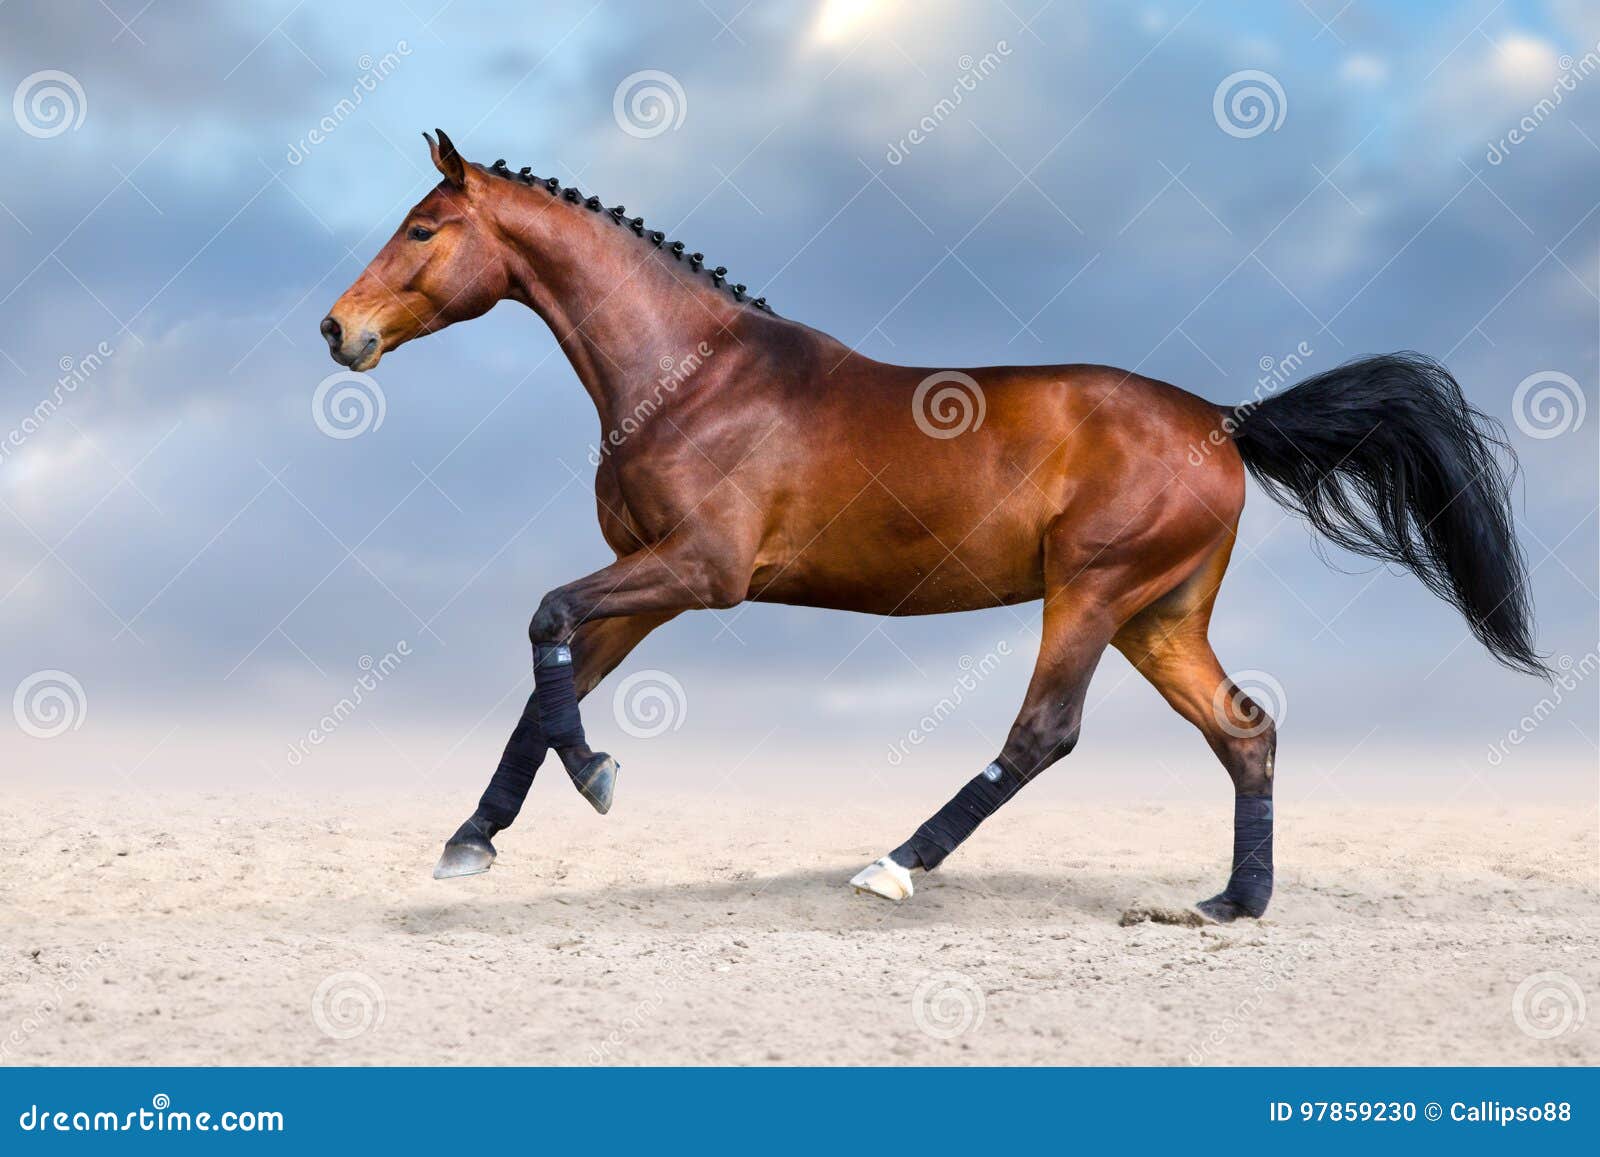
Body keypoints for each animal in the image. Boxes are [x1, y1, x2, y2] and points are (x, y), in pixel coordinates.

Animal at [321, 130, 1543, 922]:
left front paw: (596, 779)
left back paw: (896, 863)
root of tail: (1224, 421)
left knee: (1045, 733)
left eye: (423, 228)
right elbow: (547, 683)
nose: (339, 331)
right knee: (1245, 729)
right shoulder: (645, 577)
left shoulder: (696, 573)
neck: (692, 377)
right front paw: (473, 839)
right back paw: (1231, 905)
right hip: (1158, 614)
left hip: (1092, 591)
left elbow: (546, 621)